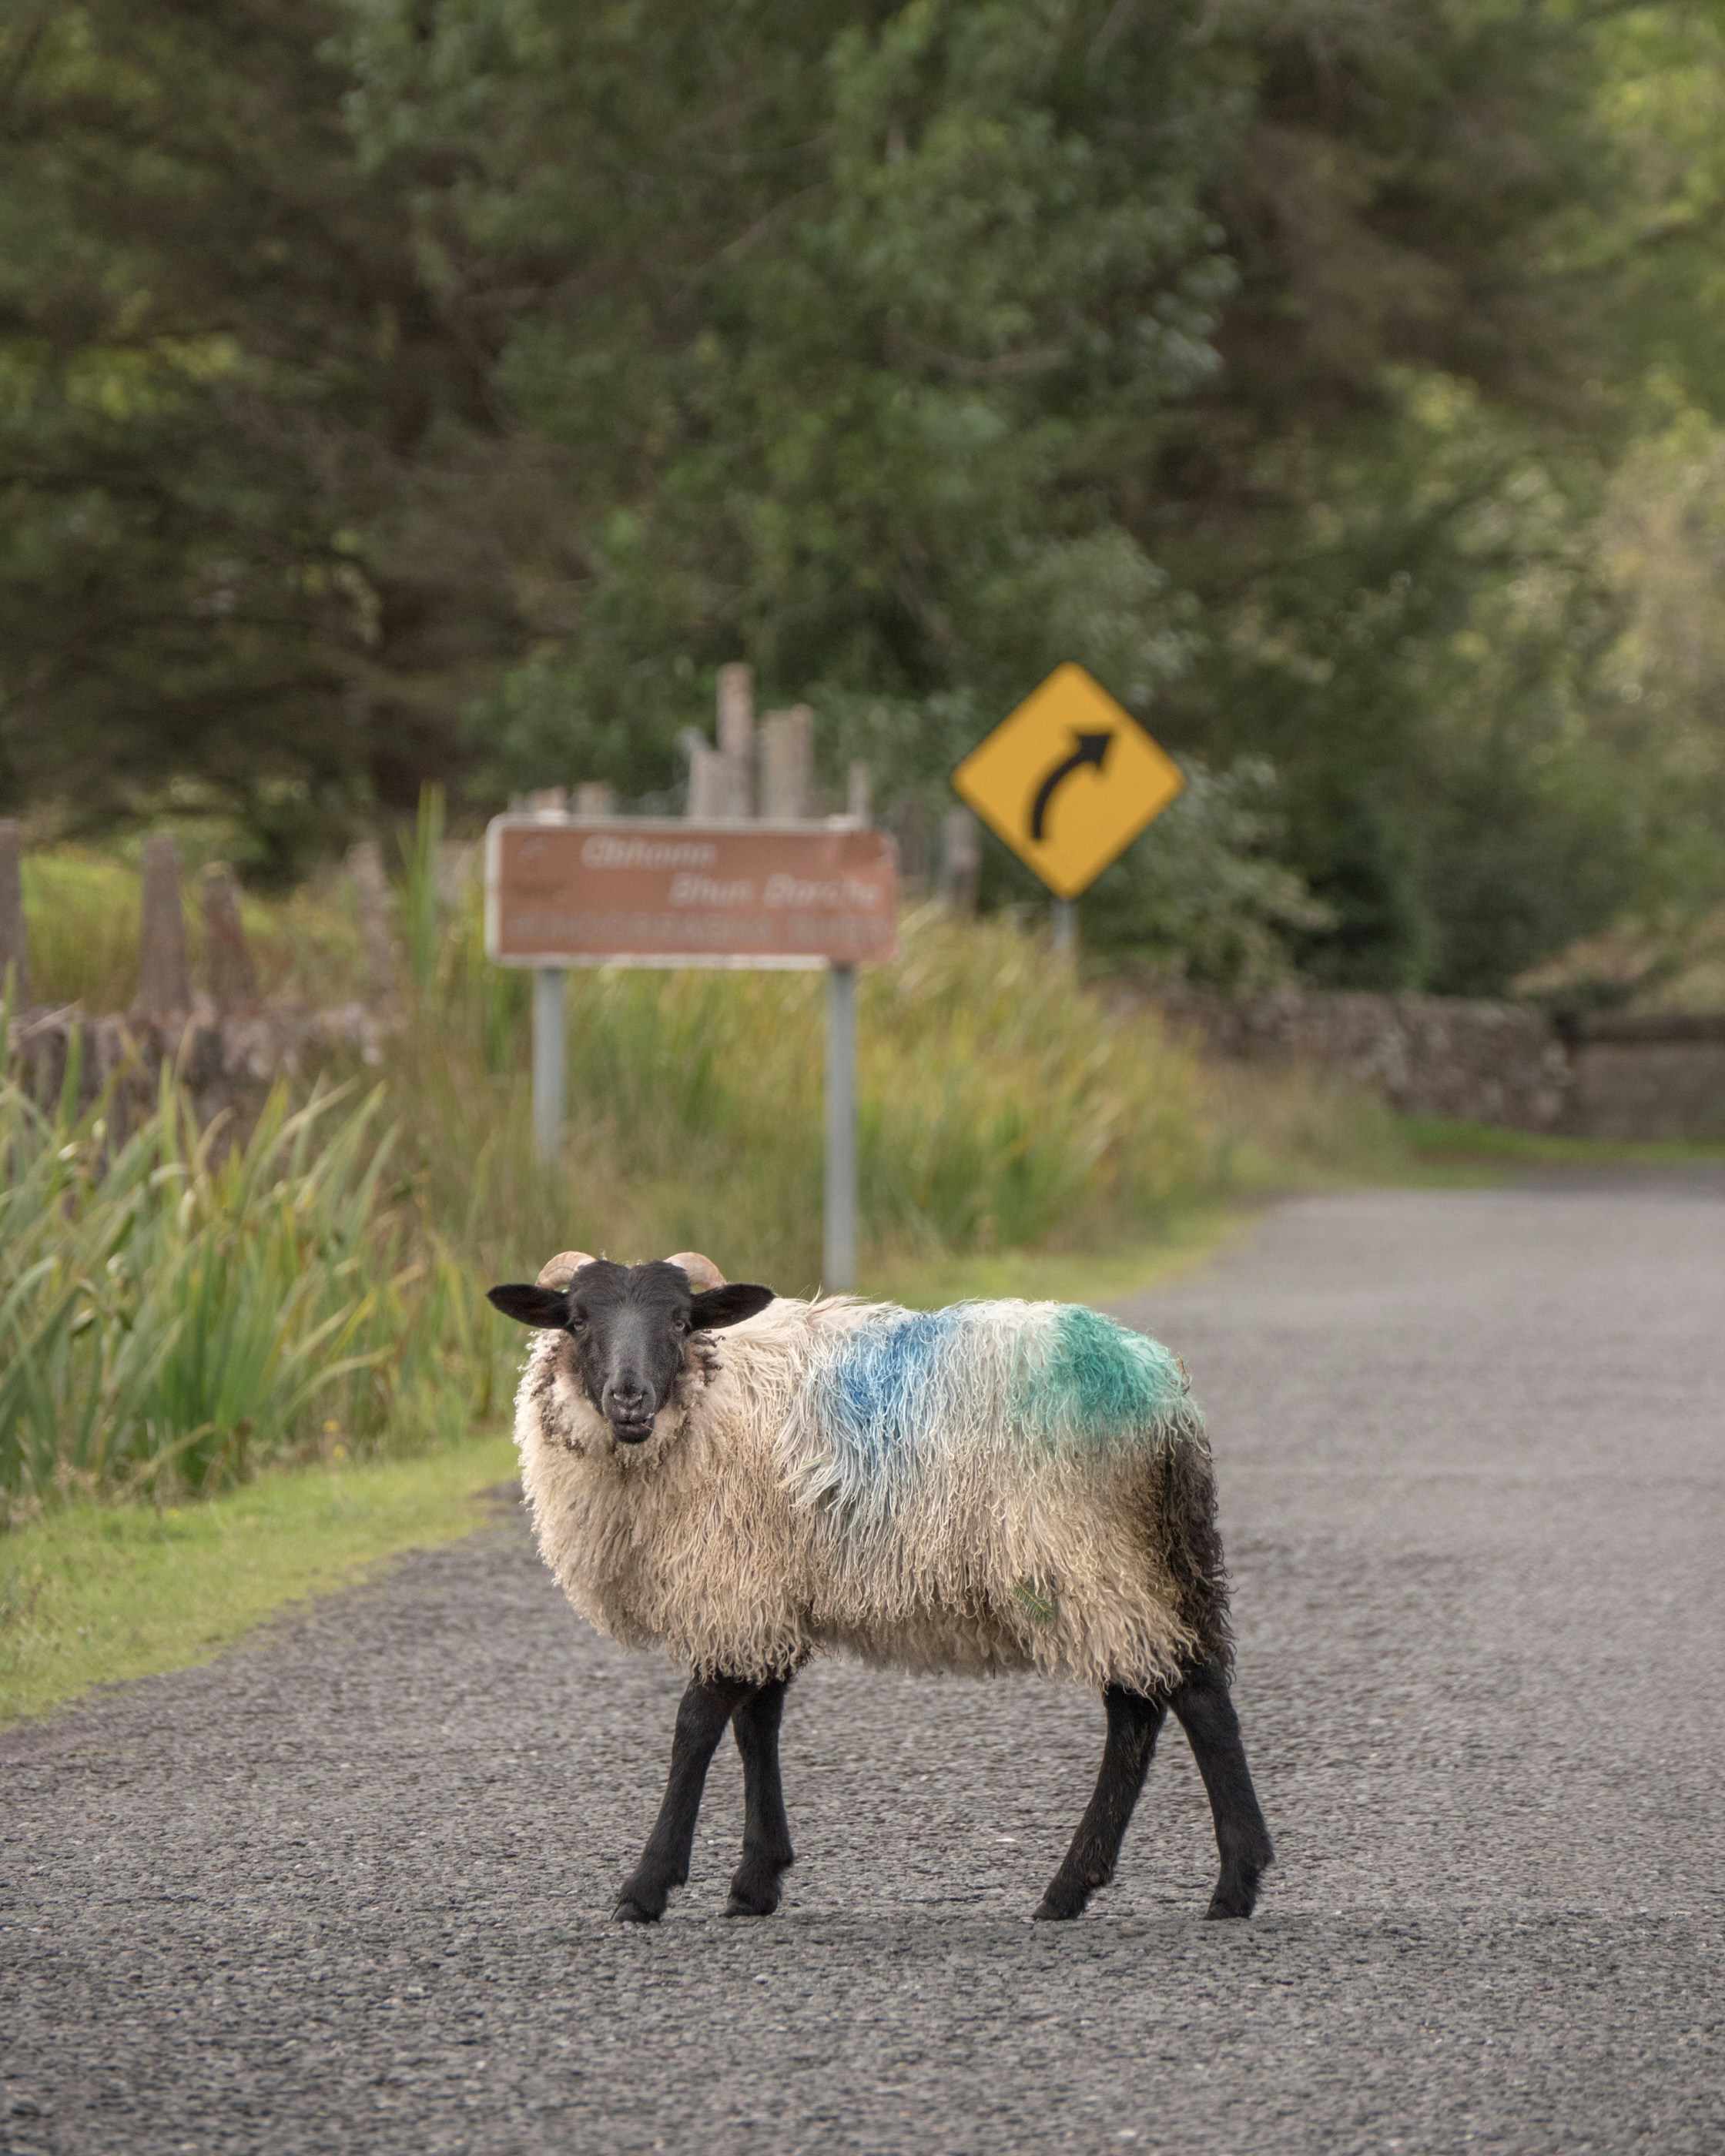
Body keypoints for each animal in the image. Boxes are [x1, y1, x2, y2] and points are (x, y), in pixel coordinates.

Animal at [487, 1248, 1273, 1926]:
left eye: (682, 1321)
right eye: (577, 1320)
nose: (630, 1398)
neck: (708, 1396)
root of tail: (1161, 1391)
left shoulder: (733, 1586)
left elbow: (695, 1728)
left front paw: (647, 1887)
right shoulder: (767, 1594)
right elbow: (756, 1726)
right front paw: (757, 1880)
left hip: (1087, 1555)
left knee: (1186, 1698)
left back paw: (1229, 1884)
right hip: (1132, 1557)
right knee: (1151, 1701)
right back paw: (1080, 1888)